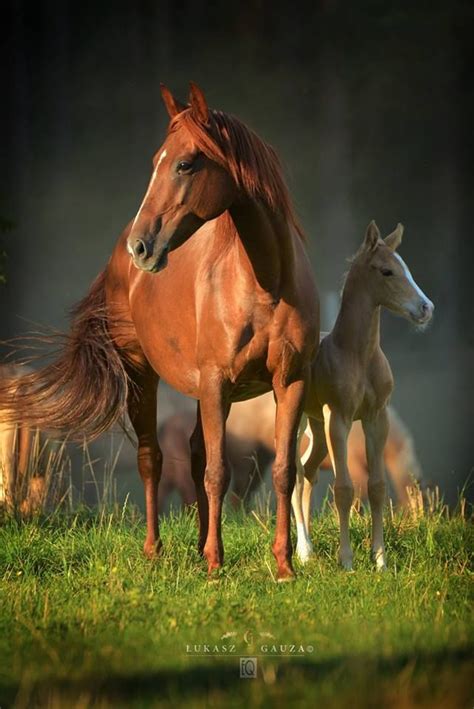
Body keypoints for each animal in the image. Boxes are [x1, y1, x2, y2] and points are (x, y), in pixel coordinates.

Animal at [2, 83, 319, 580]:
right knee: (152, 458)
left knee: (194, 453)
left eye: (185, 163)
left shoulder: (290, 382)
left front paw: (283, 565)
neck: (266, 283)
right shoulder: (217, 383)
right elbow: (217, 473)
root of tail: (117, 260)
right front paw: (216, 565)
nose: (142, 246)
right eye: (157, 160)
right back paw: (156, 549)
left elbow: (283, 471)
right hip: (142, 376)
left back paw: (200, 544)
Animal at [293, 222, 433, 569]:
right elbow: (344, 488)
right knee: (296, 473)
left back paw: (311, 545)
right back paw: (303, 550)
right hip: (300, 420)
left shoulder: (376, 418)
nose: (426, 309)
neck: (357, 355)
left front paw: (380, 560)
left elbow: (377, 487)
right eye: (386, 271)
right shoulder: (339, 418)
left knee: (309, 470)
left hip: (317, 426)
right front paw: (346, 561)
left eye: (406, 268)